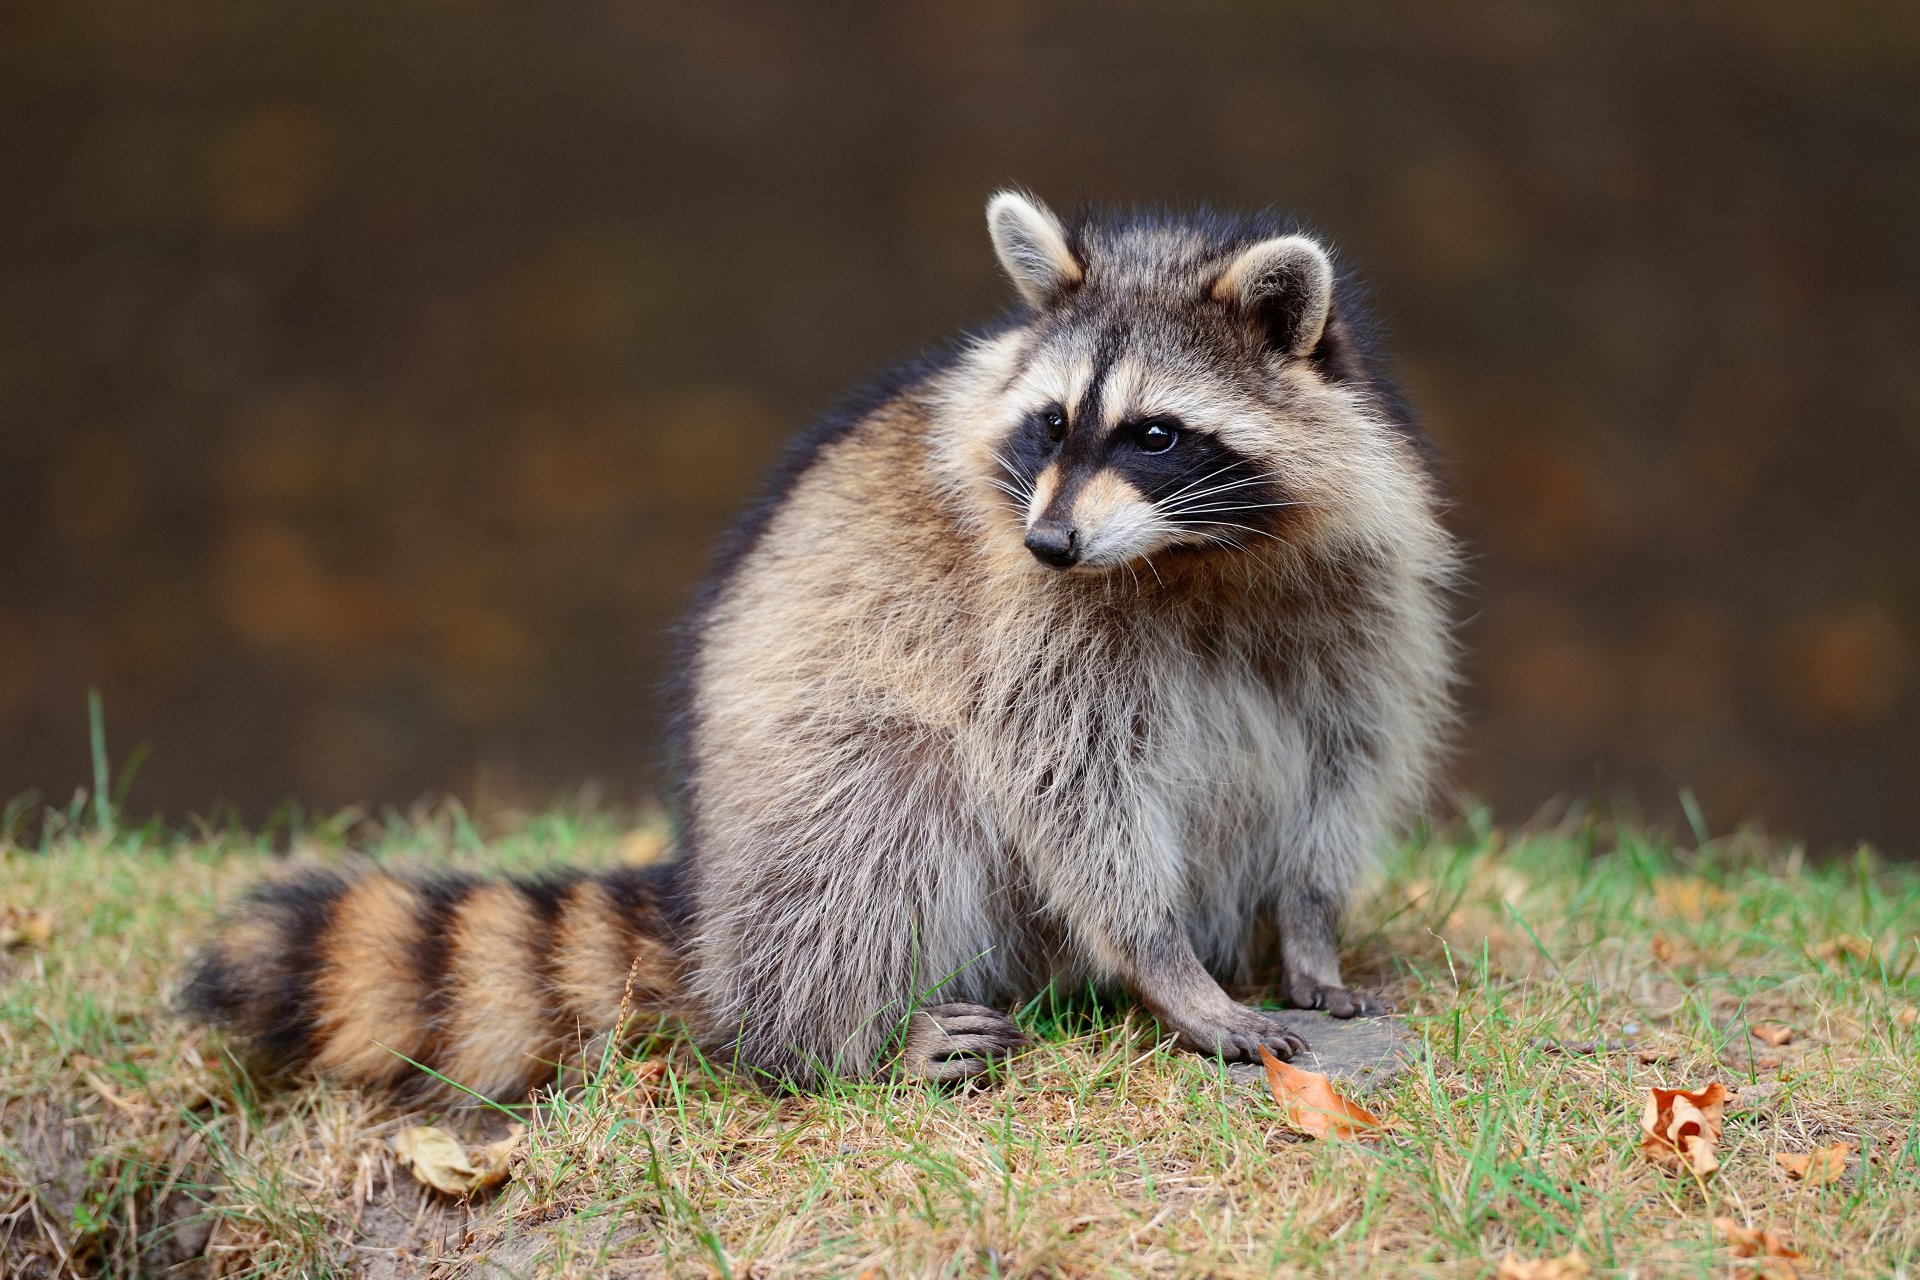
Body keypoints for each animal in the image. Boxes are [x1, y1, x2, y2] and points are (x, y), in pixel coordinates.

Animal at [185, 191, 1457, 1098]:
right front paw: (1166, 965)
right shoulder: (1028, 622)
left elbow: (1347, 753)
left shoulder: (1360, 586)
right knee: (884, 810)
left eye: (1155, 433)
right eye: (1051, 422)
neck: (1190, 553)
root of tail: (705, 895)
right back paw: (837, 1036)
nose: (1049, 538)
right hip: (797, 797)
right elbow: (1073, 788)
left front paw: (1309, 922)